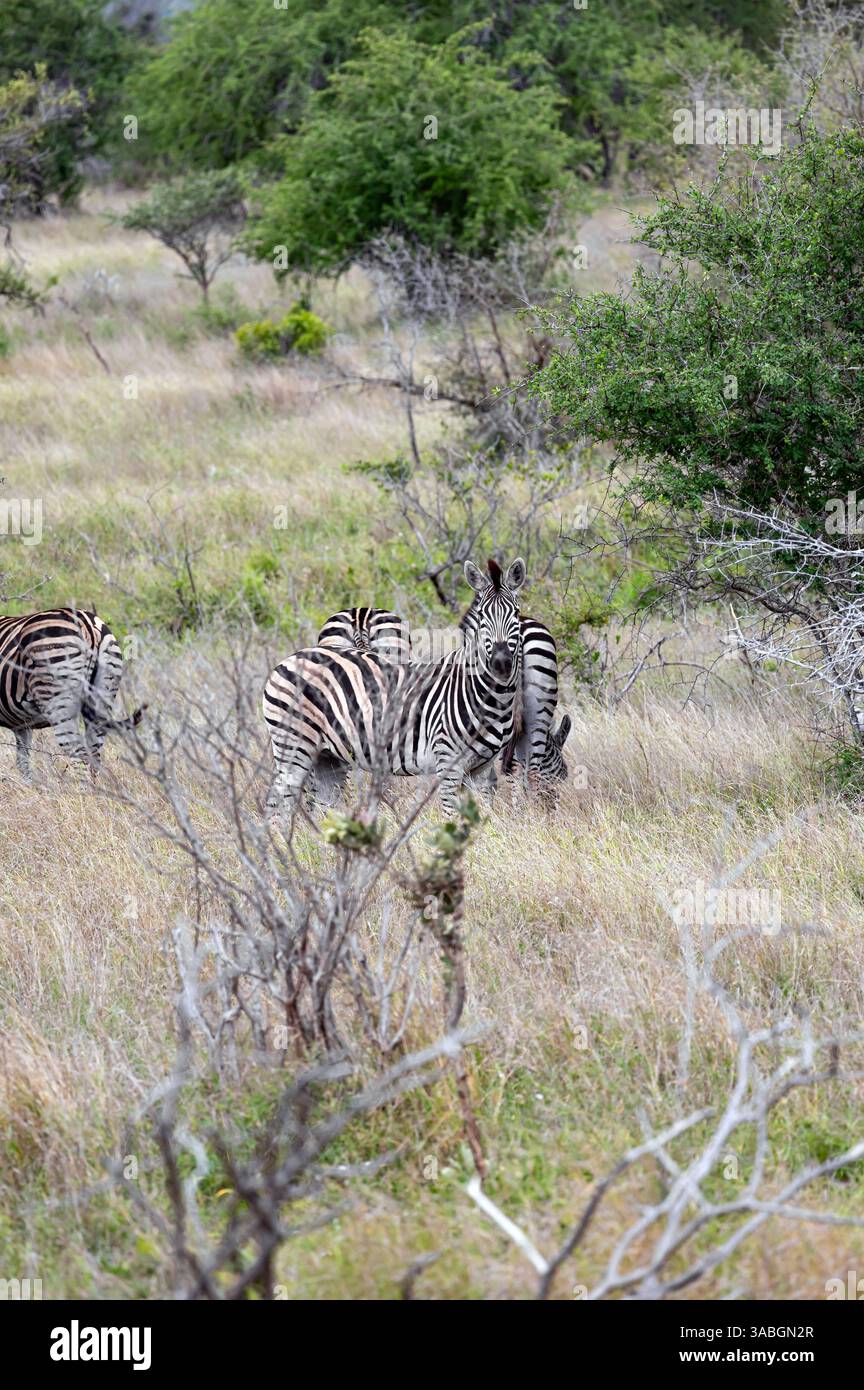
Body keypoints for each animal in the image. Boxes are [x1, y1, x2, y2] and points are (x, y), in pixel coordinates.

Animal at [0, 607, 145, 779]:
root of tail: (88, 625)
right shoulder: (22, 725)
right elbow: (24, 767)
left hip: (59, 702)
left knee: (80, 757)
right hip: (101, 702)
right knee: (93, 758)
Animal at [263, 557, 526, 813]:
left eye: (516, 614)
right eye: (482, 617)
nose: (501, 662)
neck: (492, 697)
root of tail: (290, 658)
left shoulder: (481, 768)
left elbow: (483, 817)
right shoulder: (448, 764)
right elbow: (454, 816)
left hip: (327, 756)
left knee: (321, 806)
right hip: (293, 743)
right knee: (279, 803)